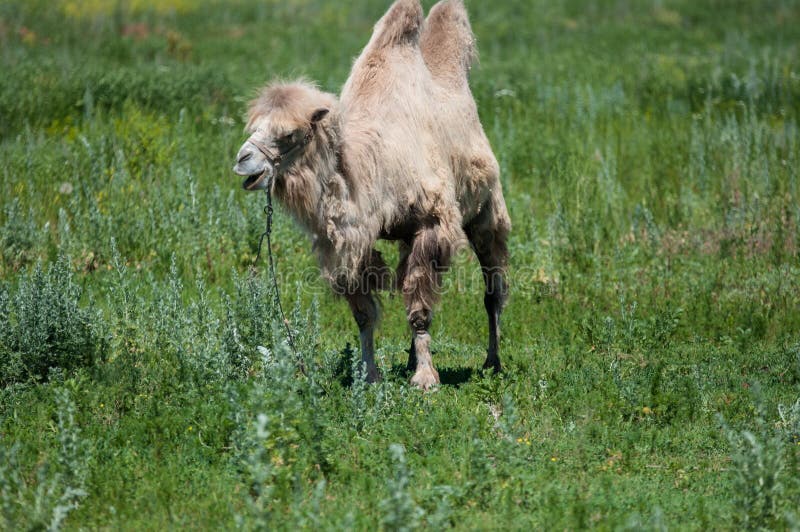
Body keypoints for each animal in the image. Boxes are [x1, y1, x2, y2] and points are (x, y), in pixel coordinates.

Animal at [232, 0, 510, 389]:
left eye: (289, 134)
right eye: (255, 128)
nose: (242, 161)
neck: (371, 168)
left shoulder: (433, 223)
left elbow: (420, 310)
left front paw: (426, 379)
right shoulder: (355, 238)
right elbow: (364, 314)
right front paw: (370, 376)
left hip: (487, 207)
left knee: (492, 288)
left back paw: (492, 363)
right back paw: (410, 360)